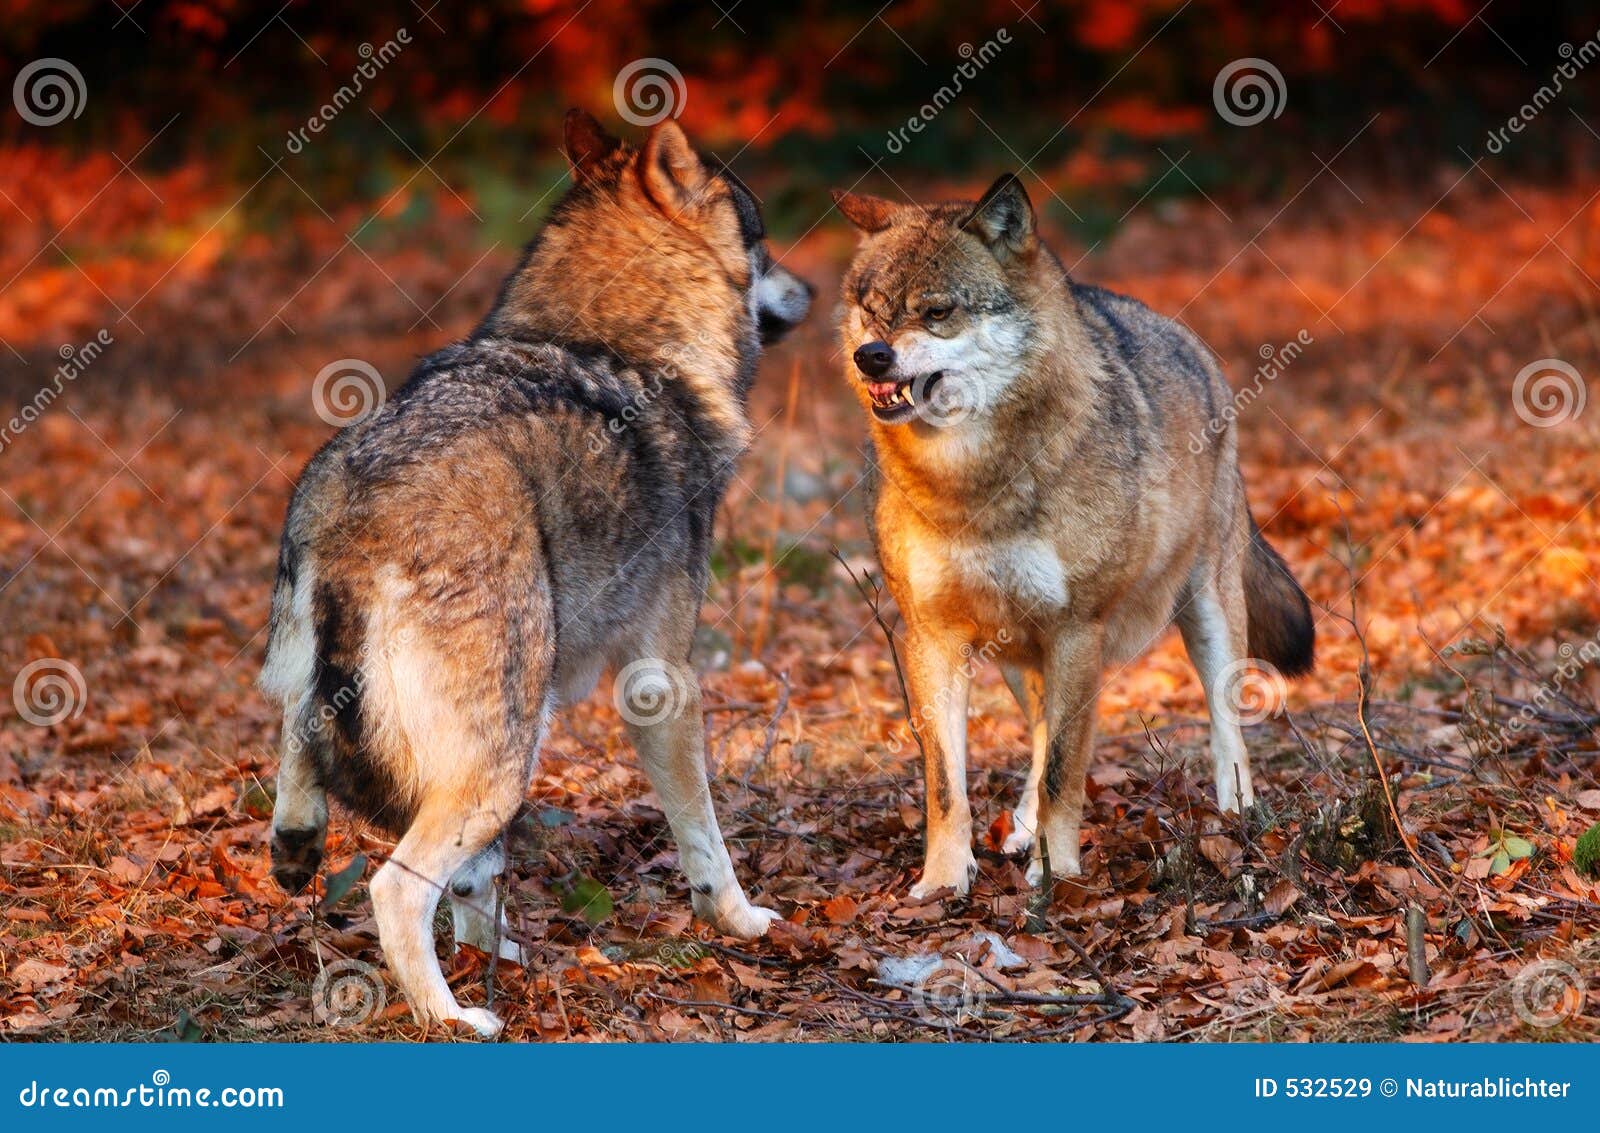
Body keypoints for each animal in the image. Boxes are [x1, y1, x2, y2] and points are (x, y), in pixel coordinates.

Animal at [259, 111, 812, 1035]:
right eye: (762, 236)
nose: (810, 291)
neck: (615, 342)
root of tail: (355, 514)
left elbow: (480, 882)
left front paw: (499, 953)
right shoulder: (661, 680)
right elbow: (704, 835)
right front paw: (738, 919)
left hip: (386, 702)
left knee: (299, 757)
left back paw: (302, 846)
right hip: (503, 758)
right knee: (394, 889)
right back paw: (453, 1017)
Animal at [832, 174, 1314, 897]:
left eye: (937, 312)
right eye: (872, 309)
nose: (871, 357)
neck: (971, 485)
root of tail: (1192, 343)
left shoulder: (1077, 631)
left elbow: (1064, 773)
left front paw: (1057, 877)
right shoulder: (932, 637)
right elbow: (948, 786)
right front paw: (944, 882)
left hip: (1207, 616)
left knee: (1226, 727)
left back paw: (1236, 816)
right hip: (1016, 656)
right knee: (1036, 737)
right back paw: (1020, 828)